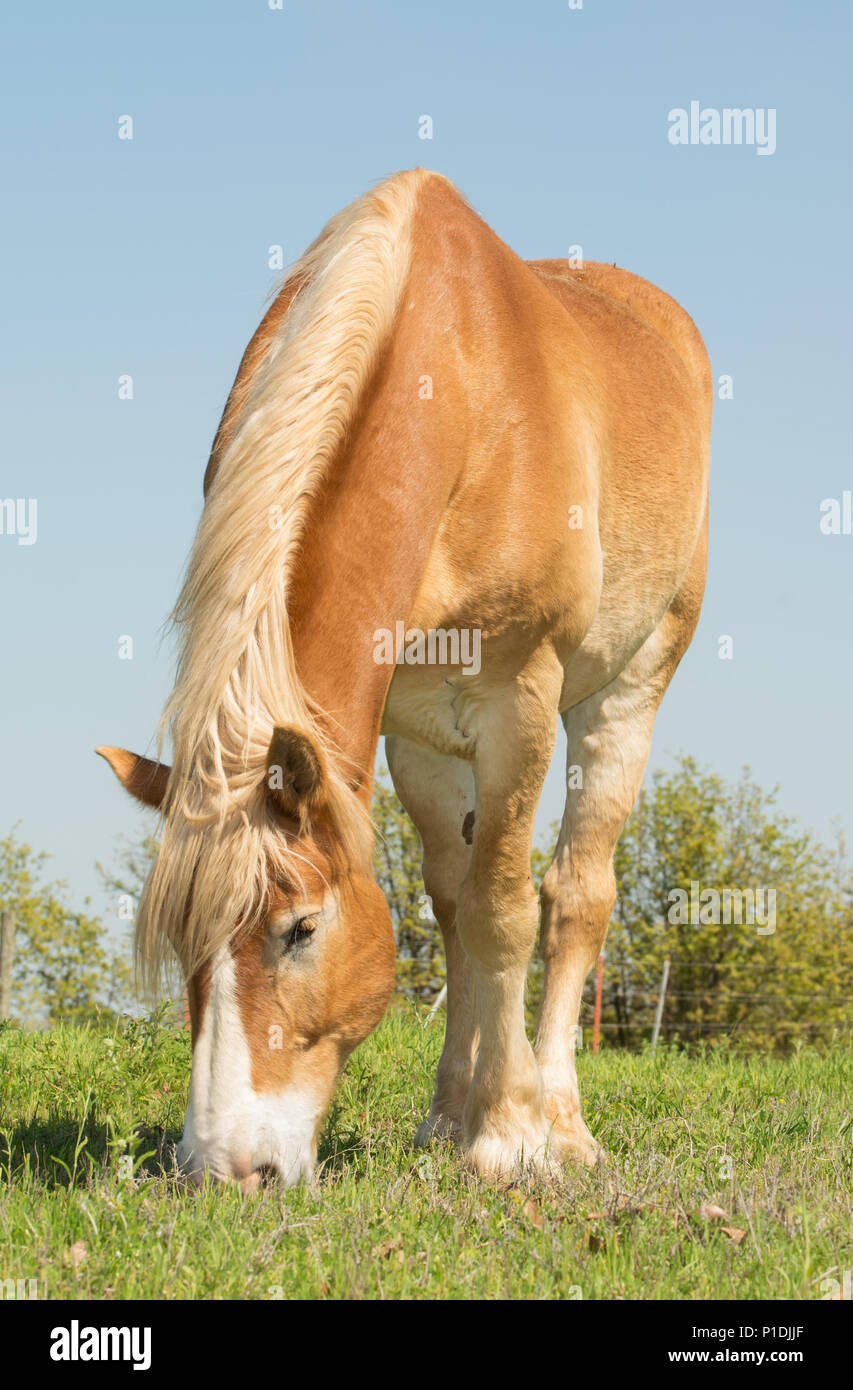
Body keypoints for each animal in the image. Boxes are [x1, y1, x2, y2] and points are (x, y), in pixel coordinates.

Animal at [97, 169, 710, 1188]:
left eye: (300, 929)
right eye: (183, 939)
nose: (226, 1169)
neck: (460, 389)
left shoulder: (516, 701)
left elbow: (504, 910)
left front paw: (506, 1135)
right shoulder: (412, 730)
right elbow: (455, 908)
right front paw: (451, 1120)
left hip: (628, 690)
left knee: (577, 896)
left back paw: (563, 1123)